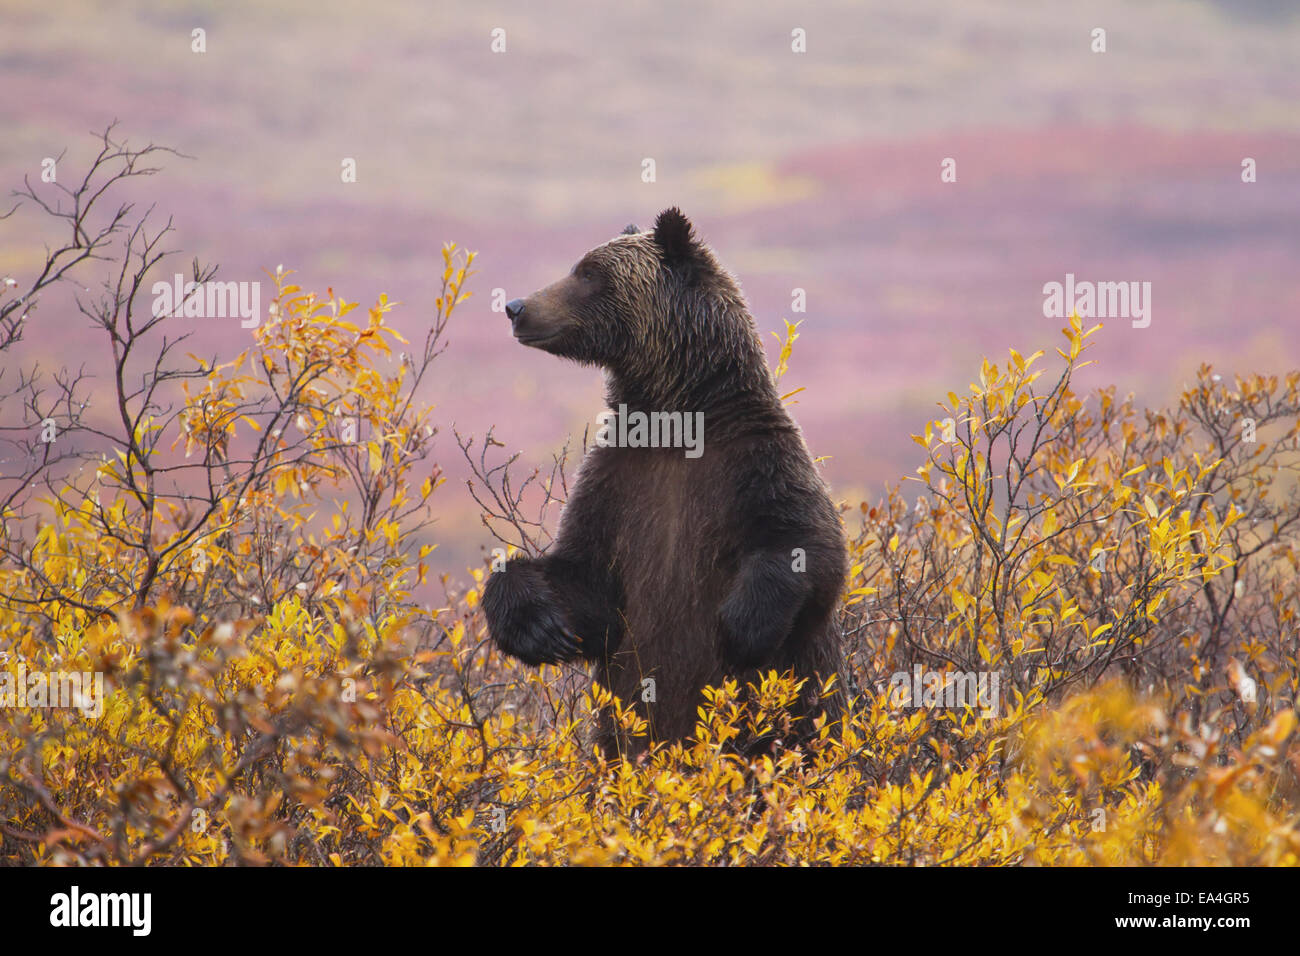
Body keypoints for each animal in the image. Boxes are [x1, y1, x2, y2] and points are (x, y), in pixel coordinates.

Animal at [482, 208, 847, 756]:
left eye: (588, 273)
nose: (516, 306)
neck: (678, 416)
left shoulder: (756, 460)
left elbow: (807, 545)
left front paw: (740, 629)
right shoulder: (619, 479)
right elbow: (585, 579)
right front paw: (541, 627)